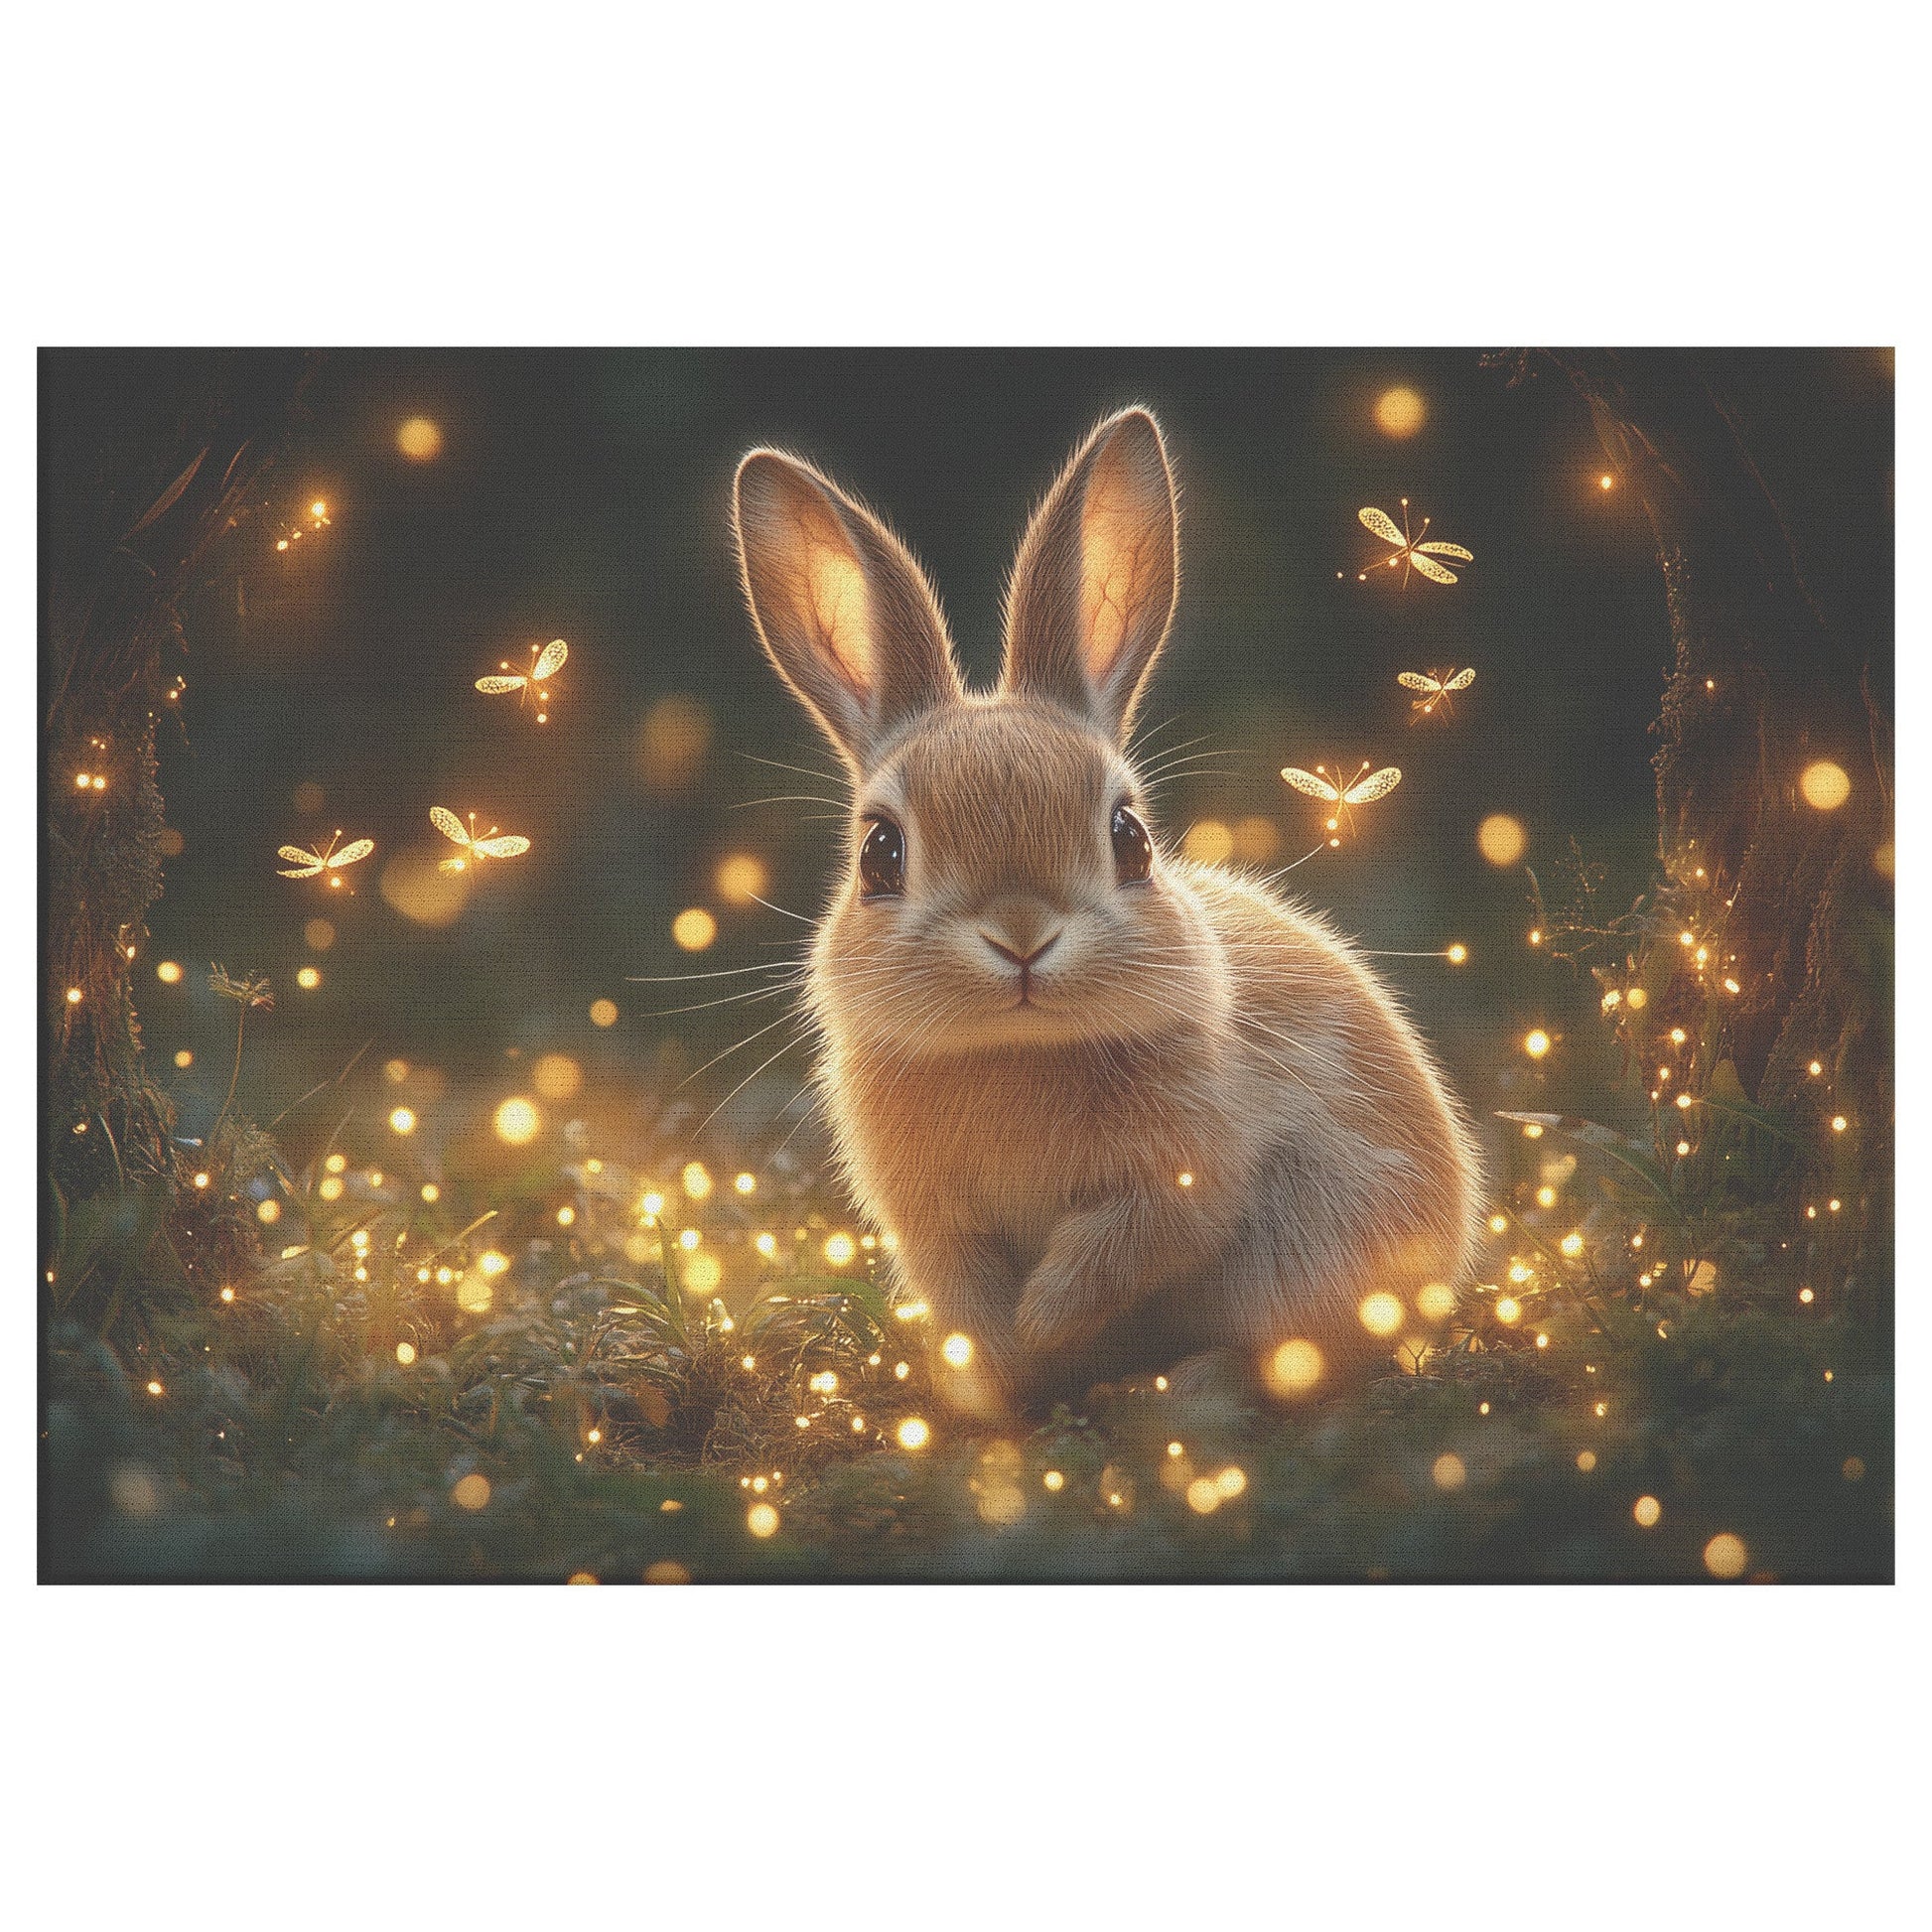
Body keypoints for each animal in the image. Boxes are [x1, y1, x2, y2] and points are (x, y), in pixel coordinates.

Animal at [731, 405, 1482, 1418]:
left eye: (1130, 837)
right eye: (879, 855)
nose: (1021, 939)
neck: (1018, 1053)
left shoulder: (1186, 1171)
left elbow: (1123, 1244)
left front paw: (1043, 1324)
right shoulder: (934, 1227)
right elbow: (968, 1294)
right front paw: (1000, 1377)